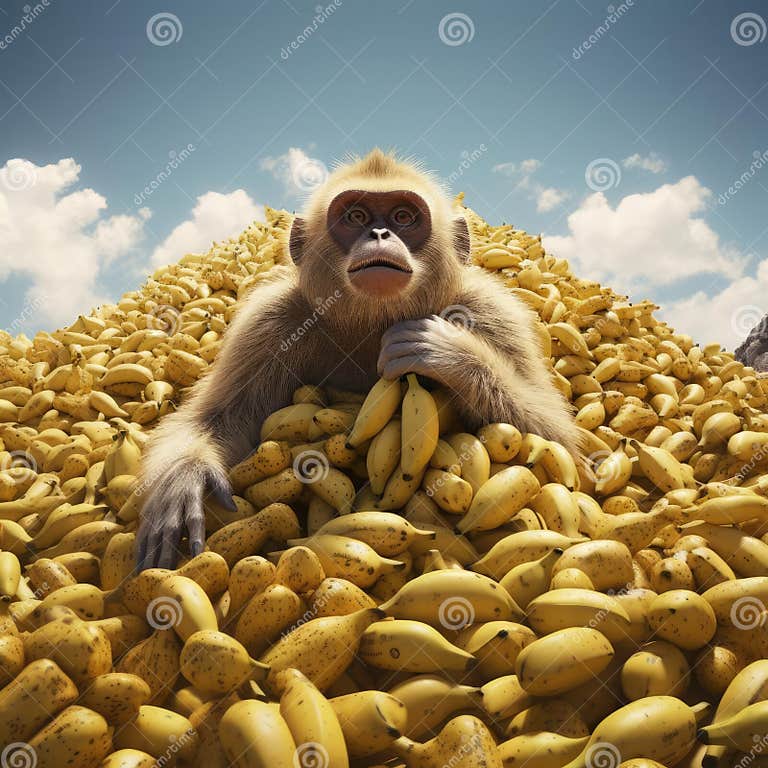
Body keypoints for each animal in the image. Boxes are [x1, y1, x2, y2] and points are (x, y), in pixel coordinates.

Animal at [136, 149, 580, 570]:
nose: (379, 232)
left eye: (403, 216)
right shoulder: (269, 320)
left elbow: (563, 447)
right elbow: (217, 420)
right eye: (356, 216)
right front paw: (184, 478)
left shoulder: (490, 310)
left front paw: (449, 353)